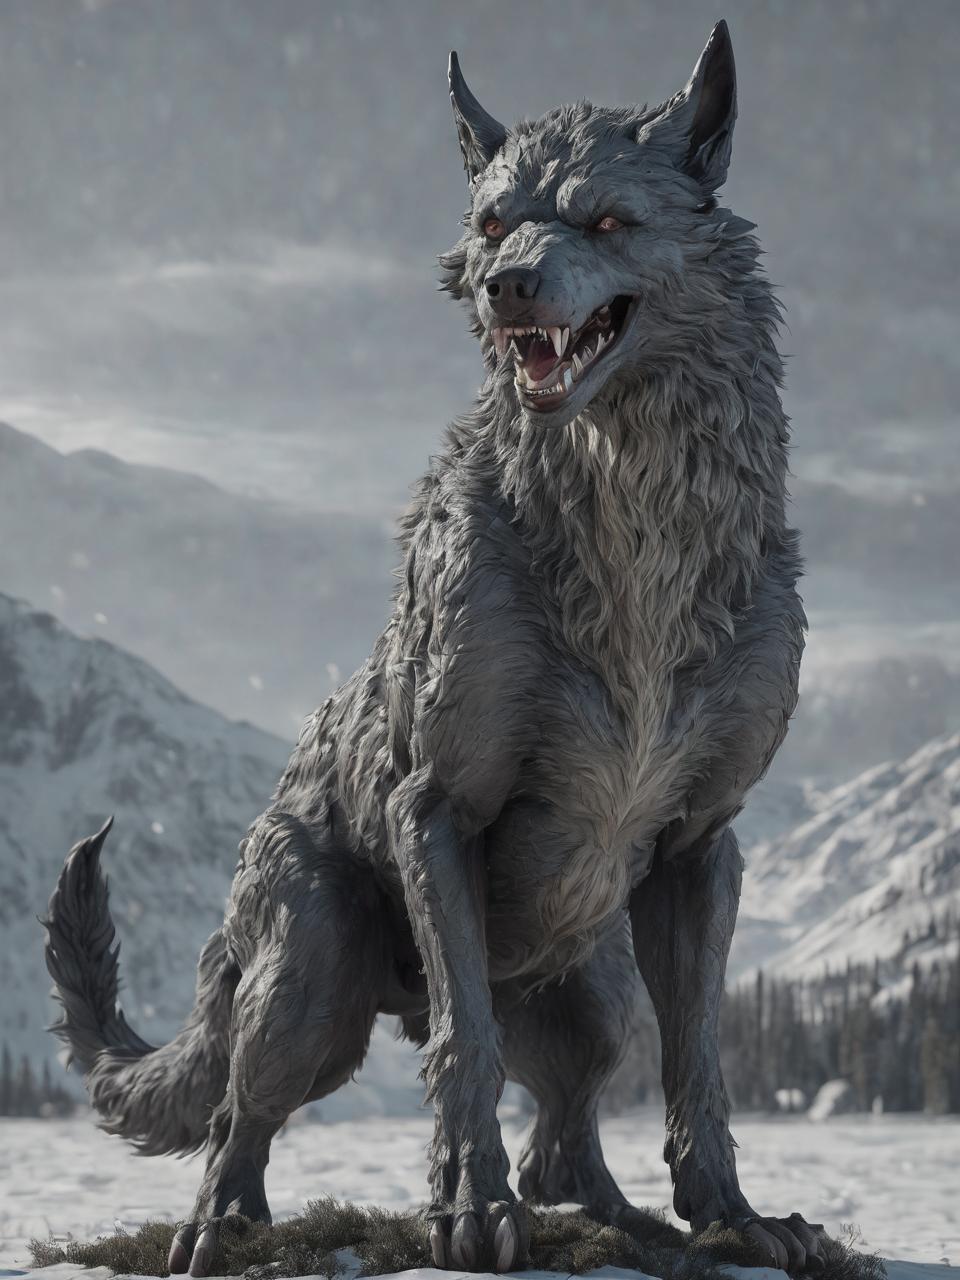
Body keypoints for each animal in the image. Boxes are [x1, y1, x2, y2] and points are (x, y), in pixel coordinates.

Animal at [44, 20, 825, 1278]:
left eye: (609, 220)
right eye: (494, 223)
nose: (509, 289)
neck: (633, 537)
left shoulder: (704, 846)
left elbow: (700, 1056)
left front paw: (734, 1215)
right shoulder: (439, 808)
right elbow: (465, 1039)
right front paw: (465, 1206)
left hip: (595, 987)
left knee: (568, 1126)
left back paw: (617, 1217)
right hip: (311, 982)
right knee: (241, 1111)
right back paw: (221, 1223)